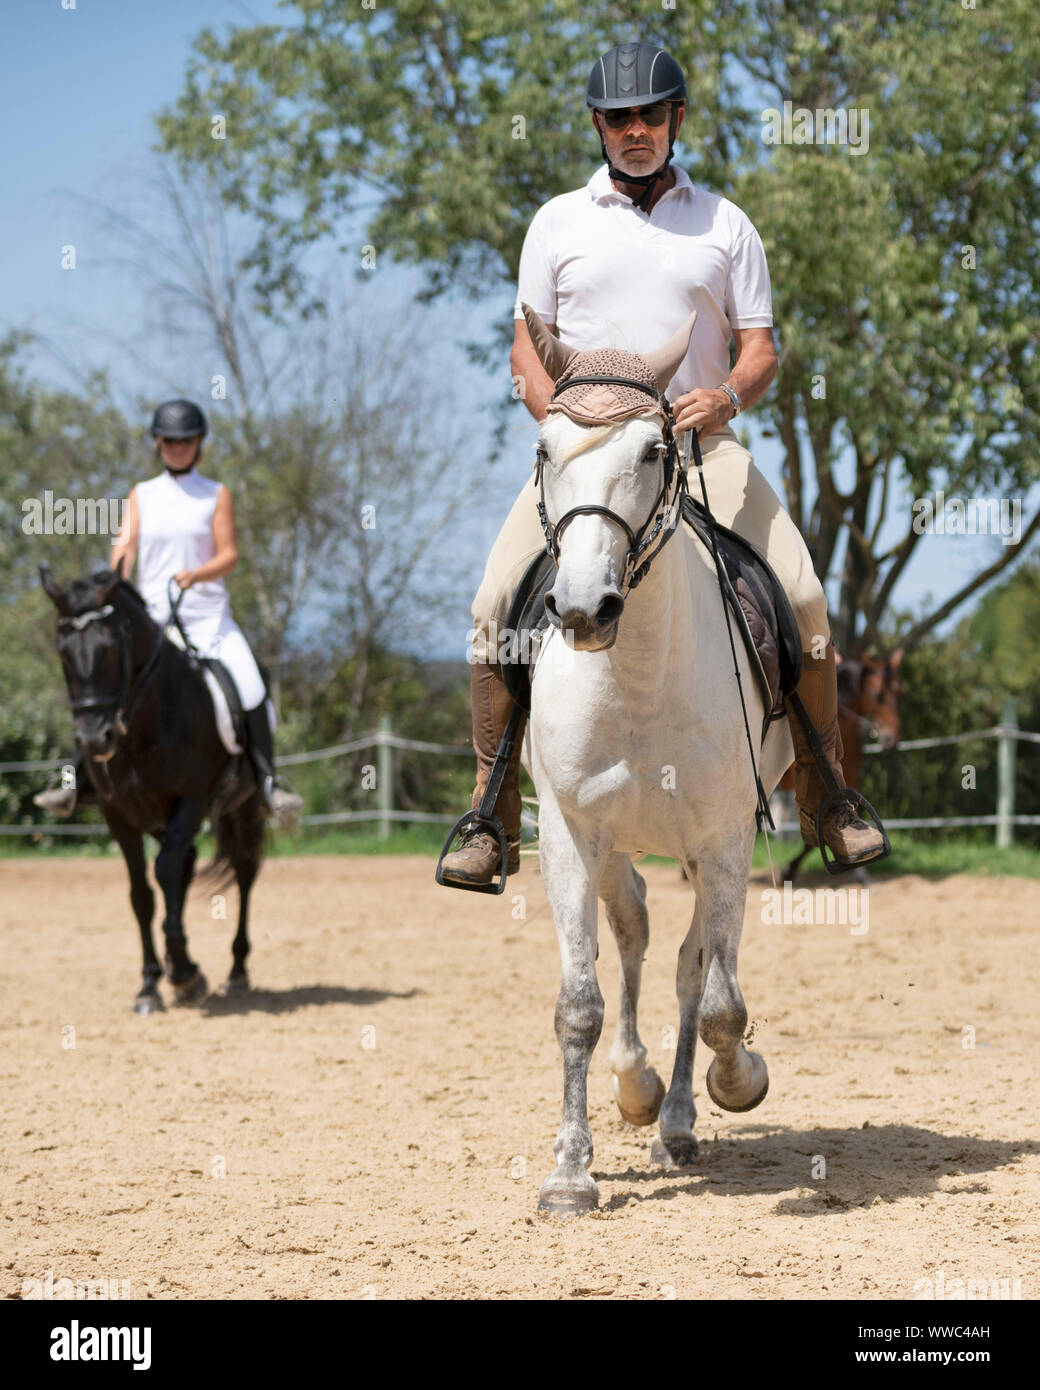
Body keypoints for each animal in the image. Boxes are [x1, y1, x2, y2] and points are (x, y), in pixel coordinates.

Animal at [40, 562, 266, 1014]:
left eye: (111, 647)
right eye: (62, 651)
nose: (95, 740)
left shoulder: (190, 802)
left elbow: (163, 873)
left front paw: (183, 973)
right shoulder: (119, 816)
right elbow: (142, 895)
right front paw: (152, 984)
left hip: (244, 807)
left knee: (243, 871)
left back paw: (235, 971)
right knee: (184, 869)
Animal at [521, 315, 794, 1217]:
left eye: (652, 449)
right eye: (544, 448)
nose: (581, 608)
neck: (637, 672)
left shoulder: (726, 840)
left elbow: (718, 1003)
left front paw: (739, 1080)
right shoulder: (570, 835)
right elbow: (579, 1003)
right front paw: (570, 1174)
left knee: (688, 970)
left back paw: (675, 1119)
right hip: (613, 848)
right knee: (635, 931)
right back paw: (638, 1089)